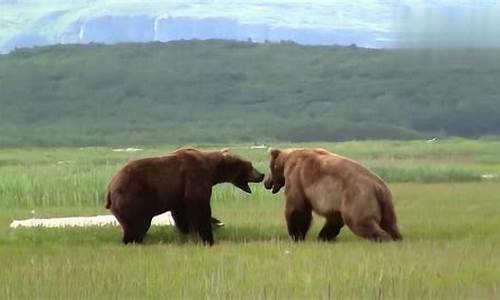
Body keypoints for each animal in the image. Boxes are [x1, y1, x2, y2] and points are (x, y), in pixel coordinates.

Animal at [104, 147, 264, 244]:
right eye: (250, 165)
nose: (261, 175)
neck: (212, 170)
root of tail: (110, 187)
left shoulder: (179, 193)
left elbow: (181, 212)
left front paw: (189, 231)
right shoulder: (195, 176)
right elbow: (199, 206)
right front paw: (208, 235)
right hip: (132, 197)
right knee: (137, 224)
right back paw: (133, 240)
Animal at [266, 149, 402, 243]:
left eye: (269, 167)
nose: (266, 182)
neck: (286, 162)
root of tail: (377, 186)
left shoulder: (297, 178)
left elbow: (297, 209)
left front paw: (296, 236)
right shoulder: (335, 200)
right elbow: (334, 219)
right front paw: (323, 237)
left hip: (357, 197)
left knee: (360, 221)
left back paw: (384, 239)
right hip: (385, 203)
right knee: (390, 224)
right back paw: (397, 238)